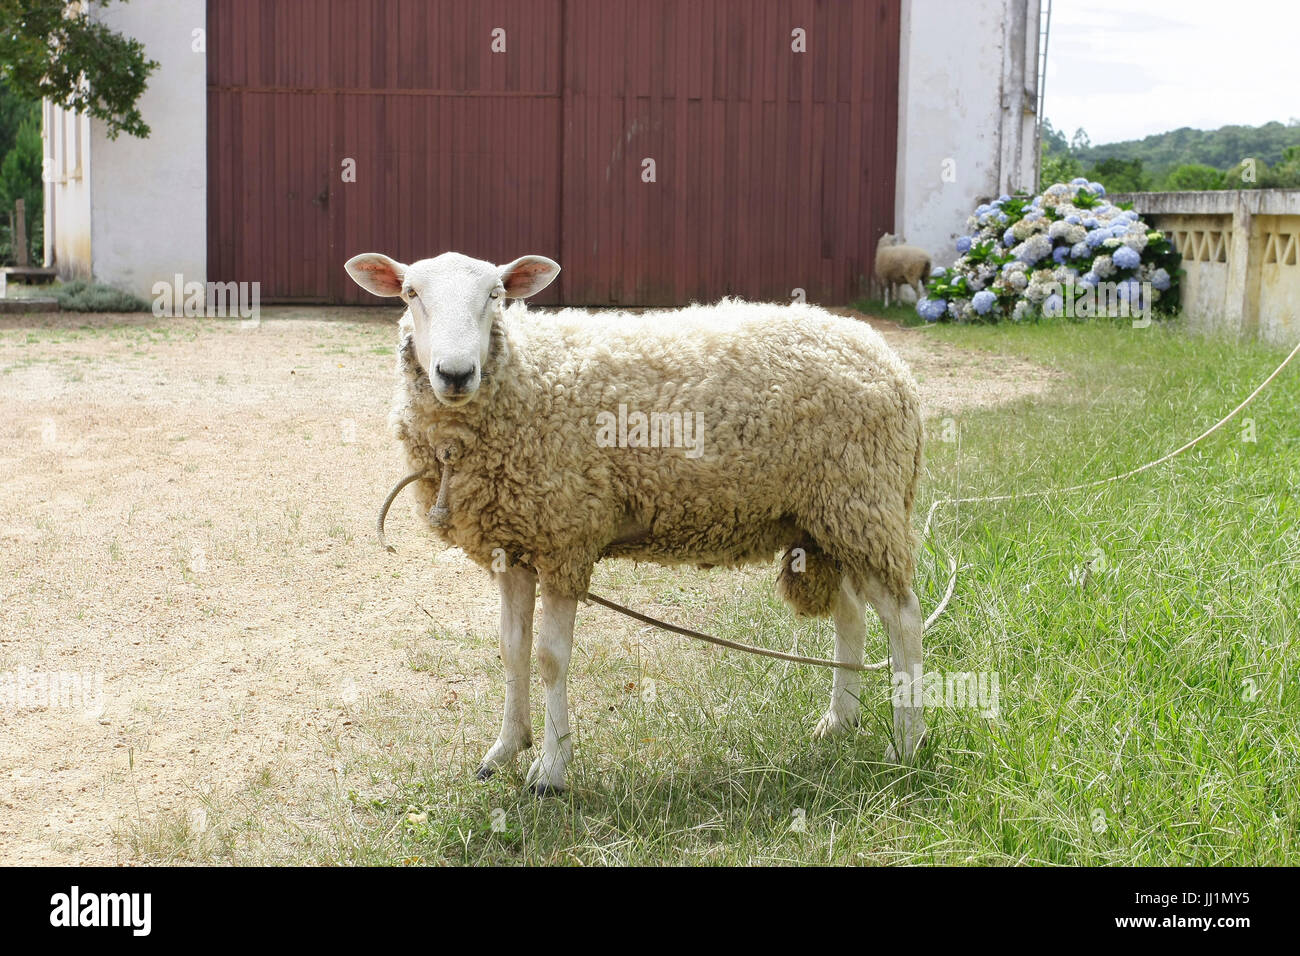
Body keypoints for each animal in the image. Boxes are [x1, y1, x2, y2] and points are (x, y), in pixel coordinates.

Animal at [345, 250, 926, 794]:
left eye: (495, 294)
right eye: (411, 293)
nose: (456, 374)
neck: (526, 381)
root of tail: (886, 358)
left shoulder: (566, 540)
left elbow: (550, 659)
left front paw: (550, 771)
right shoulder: (513, 547)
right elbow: (511, 652)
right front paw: (505, 749)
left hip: (863, 503)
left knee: (904, 618)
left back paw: (907, 743)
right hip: (828, 520)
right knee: (852, 617)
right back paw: (839, 722)